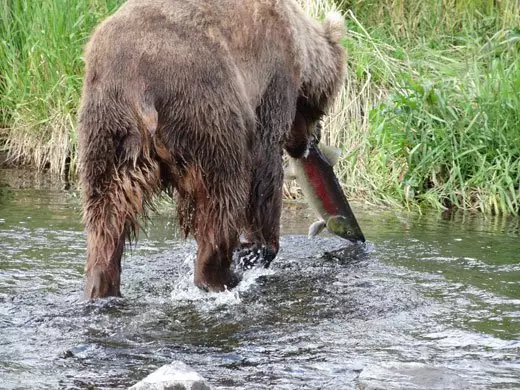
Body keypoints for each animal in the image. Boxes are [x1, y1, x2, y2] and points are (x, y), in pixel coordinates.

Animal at [78, 0, 346, 298]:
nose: (311, 141)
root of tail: (139, 86)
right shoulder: (273, 77)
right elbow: (264, 165)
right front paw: (261, 246)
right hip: (206, 107)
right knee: (224, 190)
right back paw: (223, 274)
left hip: (107, 127)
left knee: (106, 213)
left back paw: (101, 285)